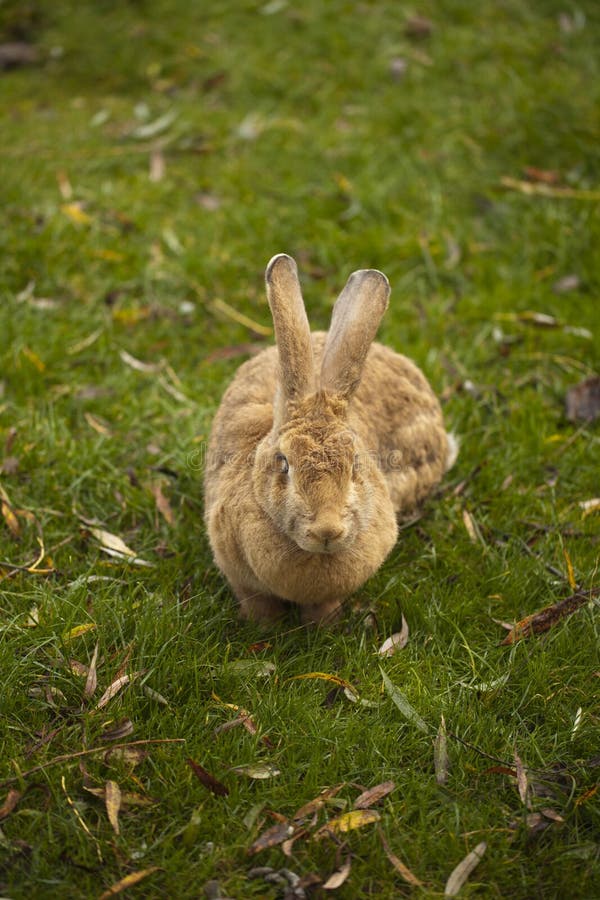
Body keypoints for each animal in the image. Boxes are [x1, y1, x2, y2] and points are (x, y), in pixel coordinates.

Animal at [204, 254, 457, 624]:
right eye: (284, 464)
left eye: (356, 465)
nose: (327, 530)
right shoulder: (238, 574)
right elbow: (256, 601)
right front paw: (262, 626)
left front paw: (325, 624)